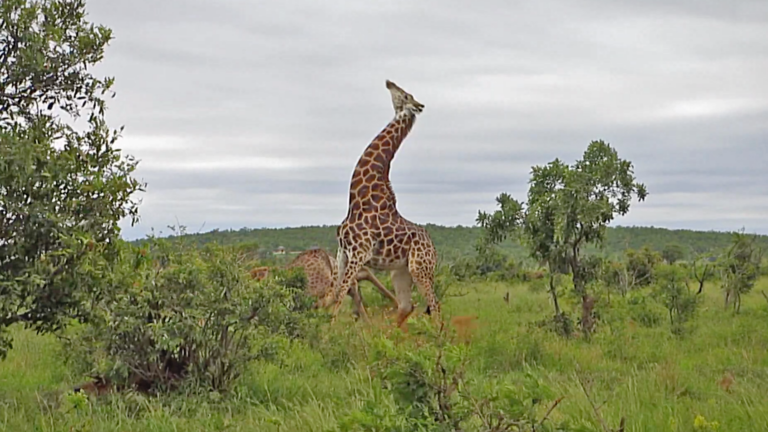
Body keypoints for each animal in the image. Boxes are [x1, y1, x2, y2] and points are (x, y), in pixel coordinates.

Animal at [328, 79, 441, 329]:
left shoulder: (359, 253)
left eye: (406, 95)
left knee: (435, 305)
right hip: (400, 271)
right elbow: (333, 293)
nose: (390, 82)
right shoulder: (342, 253)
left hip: (420, 268)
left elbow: (339, 294)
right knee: (407, 306)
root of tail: (434, 248)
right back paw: (388, 335)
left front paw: (326, 333)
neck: (358, 199)